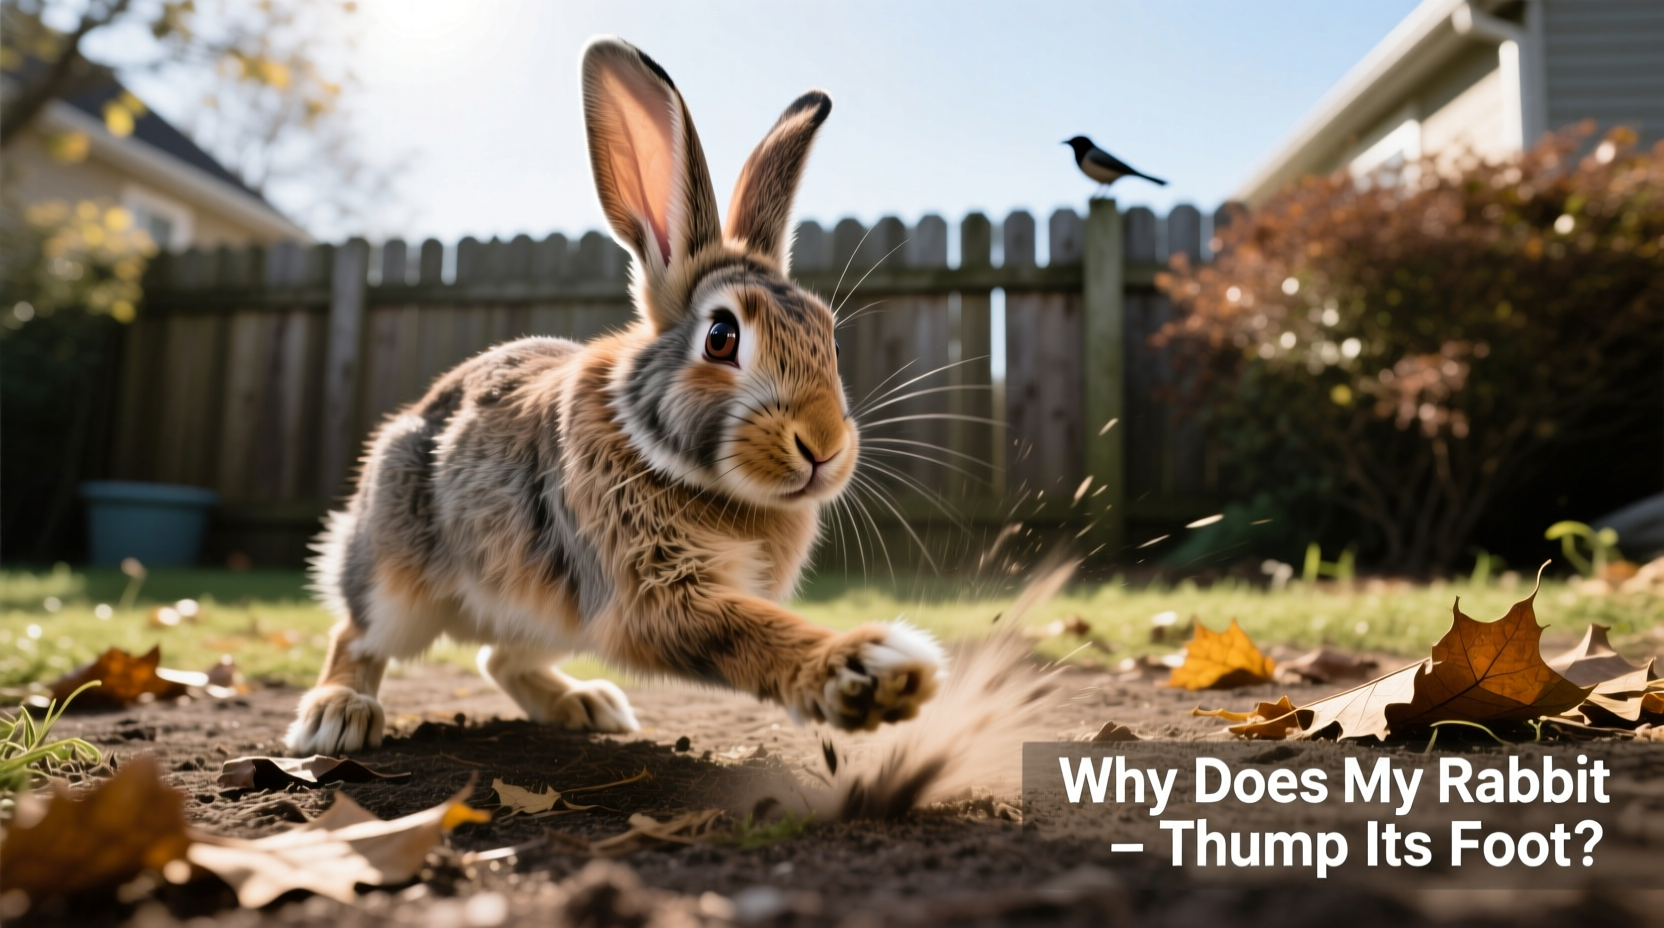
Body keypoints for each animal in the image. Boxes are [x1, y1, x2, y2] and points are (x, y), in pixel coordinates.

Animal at [285, 36, 946, 756]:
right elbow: (746, 631)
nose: (823, 447)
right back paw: (337, 714)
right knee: (356, 634)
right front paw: (871, 668)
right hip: (394, 575)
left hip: (548, 614)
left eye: (830, 339)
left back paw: (587, 704)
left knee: (497, 658)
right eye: (721, 337)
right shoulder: (653, 596)